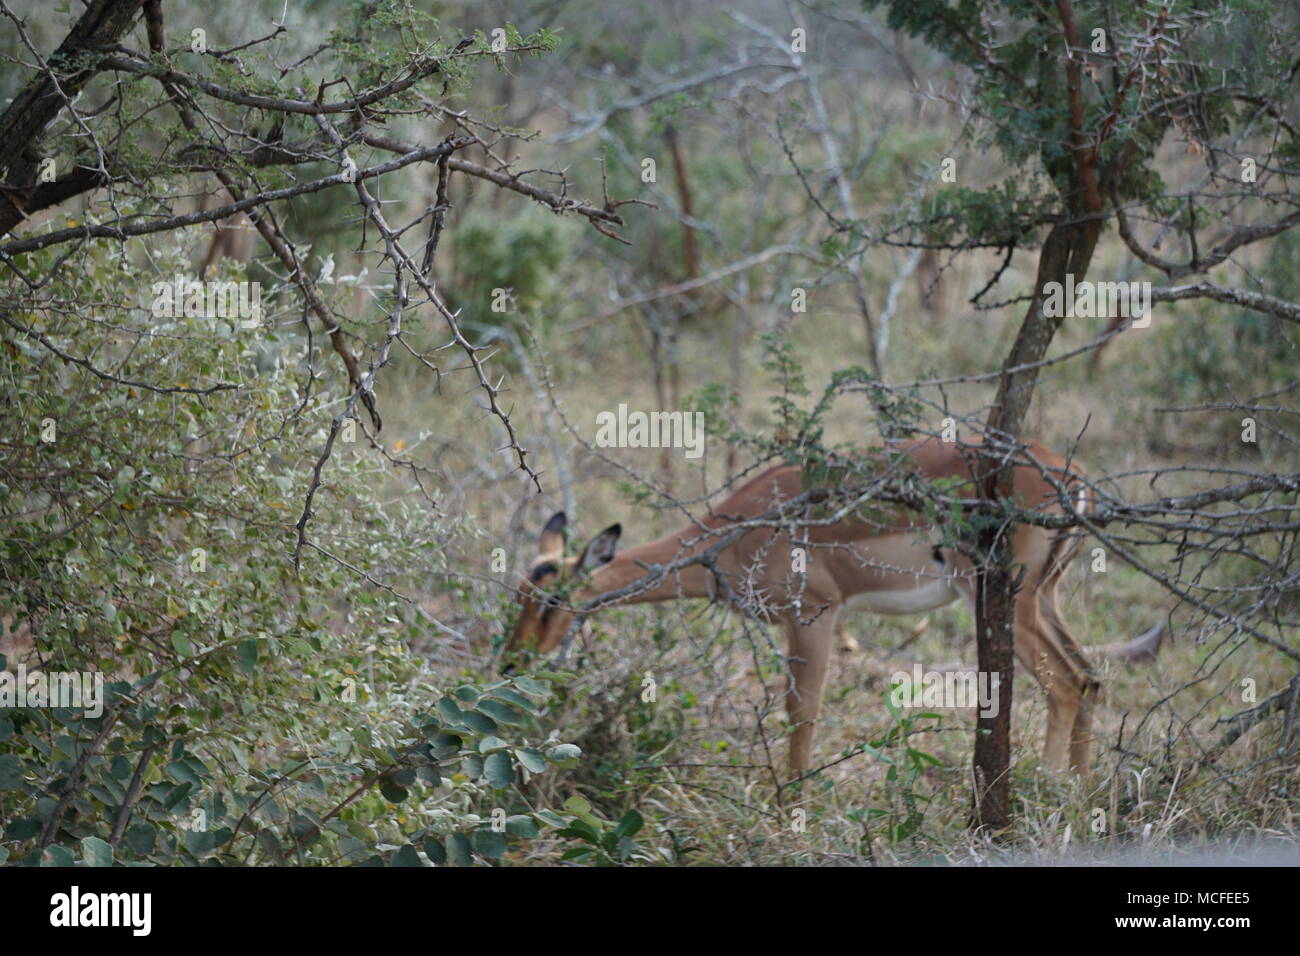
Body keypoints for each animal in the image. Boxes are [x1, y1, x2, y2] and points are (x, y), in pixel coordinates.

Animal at [505, 436, 1164, 778]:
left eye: (553, 599)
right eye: (518, 595)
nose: (513, 663)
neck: (739, 529)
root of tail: (1069, 475)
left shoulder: (814, 617)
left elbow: (802, 716)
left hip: (1005, 600)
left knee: (1066, 683)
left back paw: (1048, 788)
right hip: (1044, 597)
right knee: (1092, 677)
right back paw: (1078, 791)